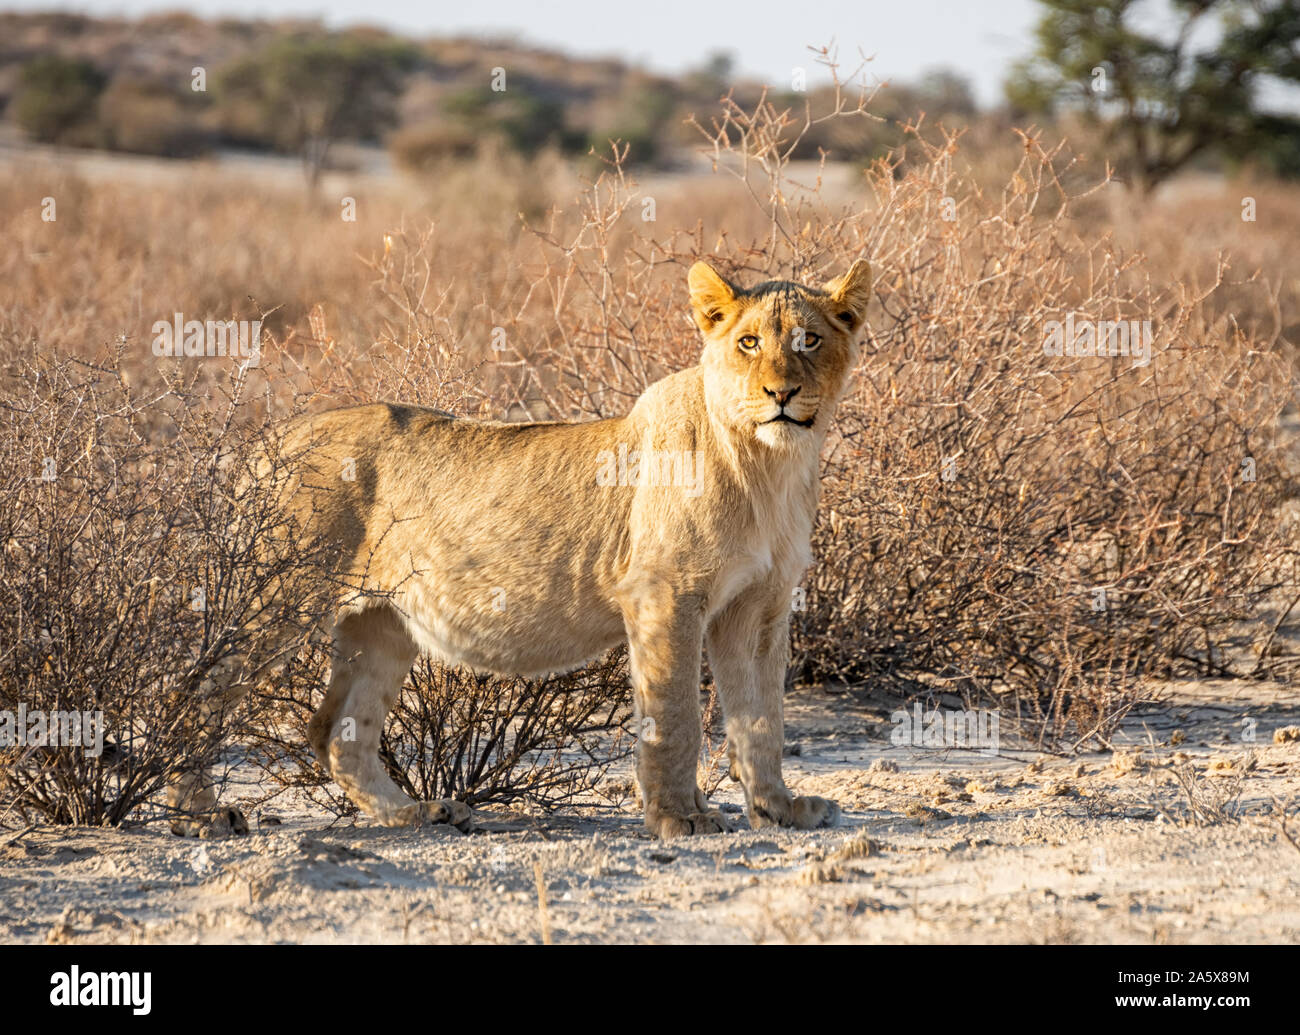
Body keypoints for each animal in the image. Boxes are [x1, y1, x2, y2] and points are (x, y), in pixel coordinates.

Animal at [170, 258, 872, 839]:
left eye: (809, 341)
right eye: (749, 342)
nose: (781, 394)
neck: (770, 465)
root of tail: (269, 438)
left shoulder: (758, 606)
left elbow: (763, 717)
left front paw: (778, 808)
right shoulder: (664, 594)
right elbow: (674, 717)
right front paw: (680, 818)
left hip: (382, 623)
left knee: (337, 733)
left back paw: (418, 813)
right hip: (276, 599)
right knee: (200, 685)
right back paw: (201, 815)